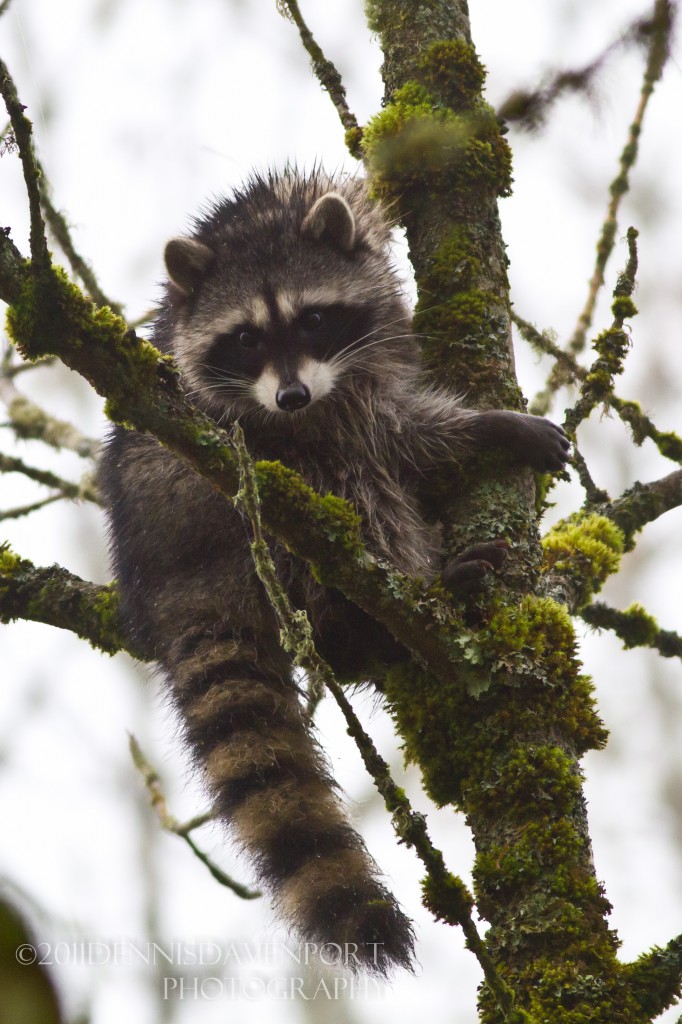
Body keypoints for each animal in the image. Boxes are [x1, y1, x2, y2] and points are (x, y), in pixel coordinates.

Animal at [99, 169, 569, 976]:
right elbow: (388, 433)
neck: (257, 219)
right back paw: (410, 599)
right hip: (220, 502)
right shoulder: (264, 415)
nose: (291, 395)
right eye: (246, 337)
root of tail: (167, 579)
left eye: (314, 319)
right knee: (347, 484)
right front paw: (483, 430)